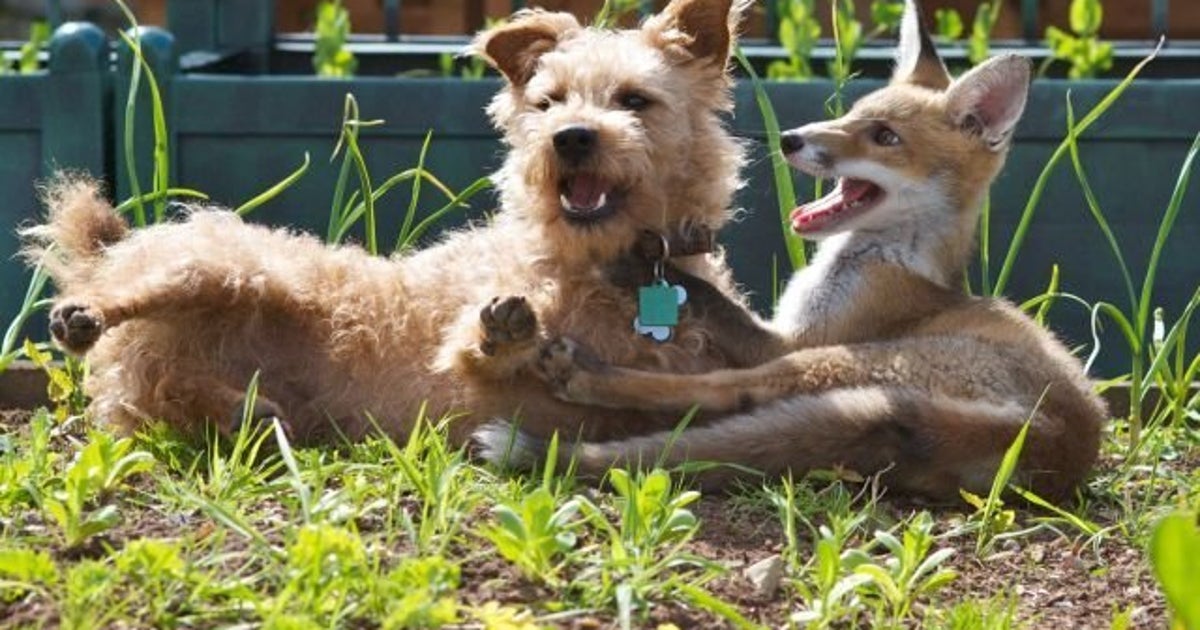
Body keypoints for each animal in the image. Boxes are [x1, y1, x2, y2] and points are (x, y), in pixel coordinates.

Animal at [474, 0, 1106, 501]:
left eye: (884, 137)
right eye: (853, 113)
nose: (791, 138)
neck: (886, 259)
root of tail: (1054, 441)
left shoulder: (790, 340)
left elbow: (709, 299)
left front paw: (640, 263)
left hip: (833, 362)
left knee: (722, 392)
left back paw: (587, 376)